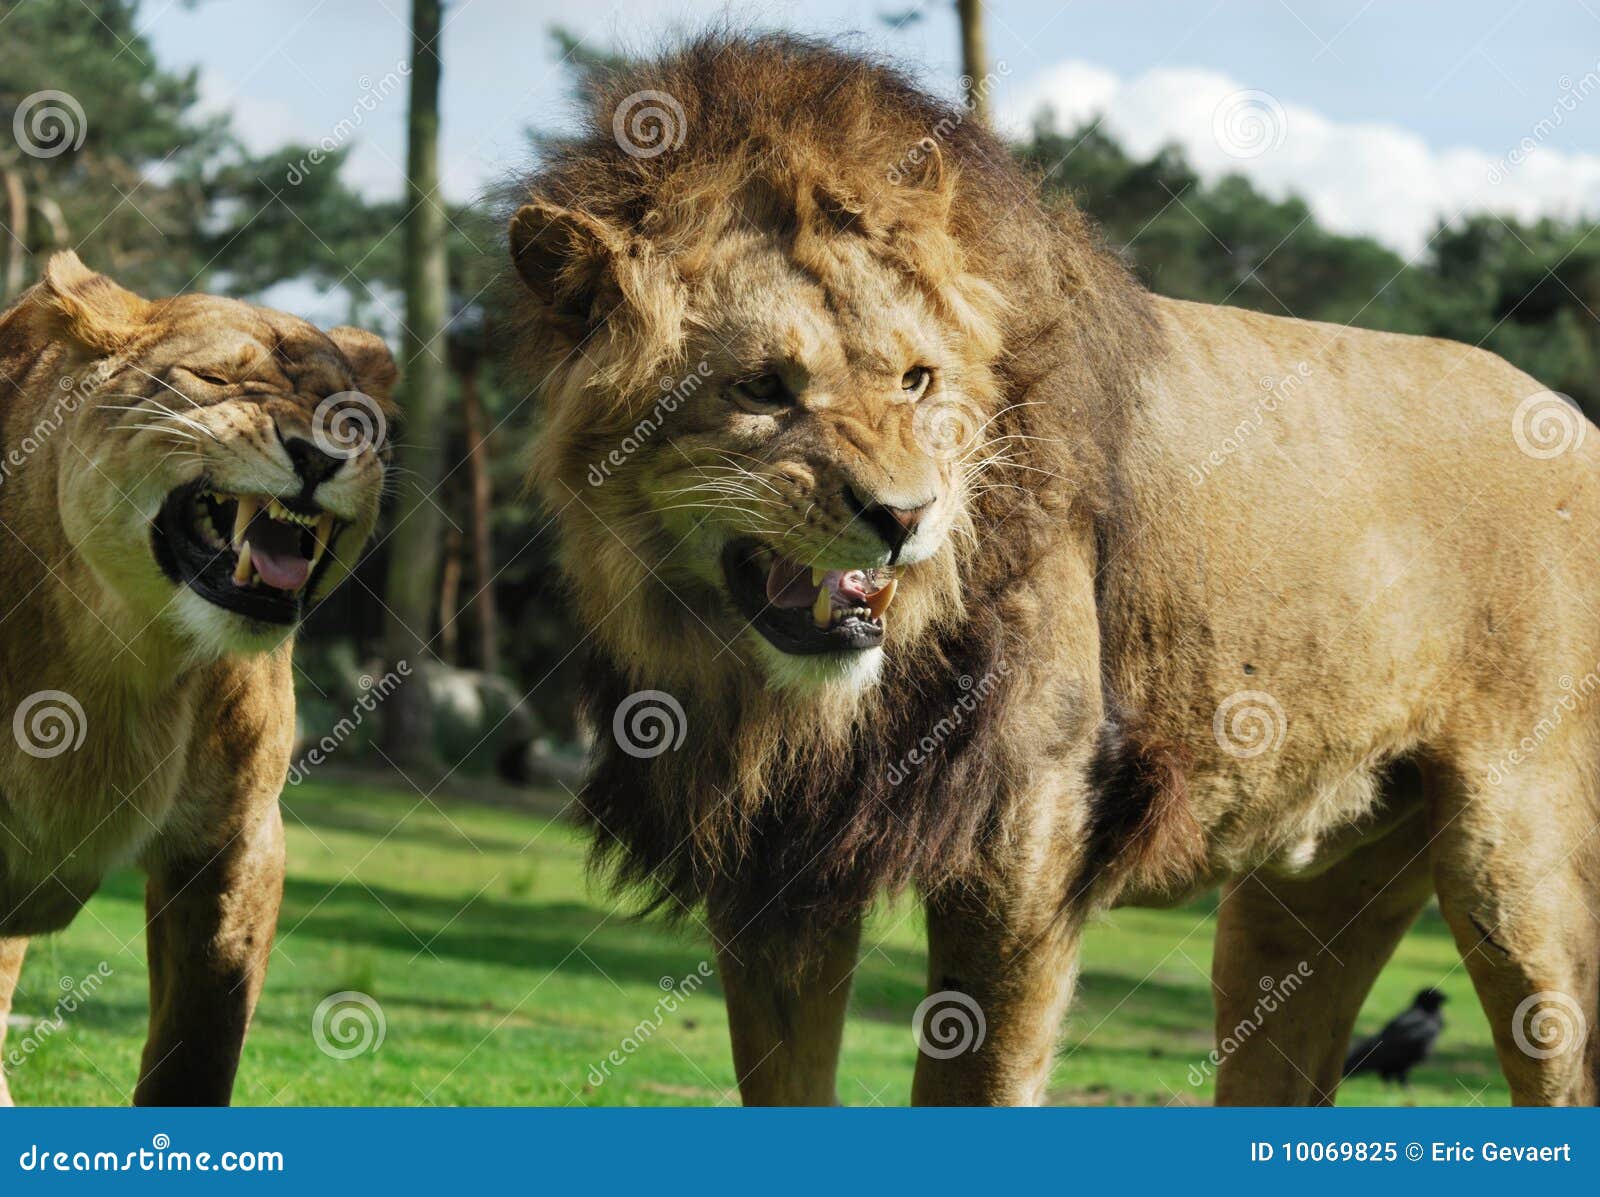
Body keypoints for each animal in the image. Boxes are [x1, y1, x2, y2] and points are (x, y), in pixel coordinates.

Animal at [0, 253, 394, 1105]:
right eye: (213, 379)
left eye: (349, 417)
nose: (319, 456)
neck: (122, 651)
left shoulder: (235, 841)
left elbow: (200, 1046)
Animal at [510, 34, 1600, 1105]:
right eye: (760, 388)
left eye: (917, 380)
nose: (906, 517)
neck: (794, 703)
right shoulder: (777, 868)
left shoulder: (1027, 839)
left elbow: (974, 1083)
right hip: (1302, 894)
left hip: (1524, 870)